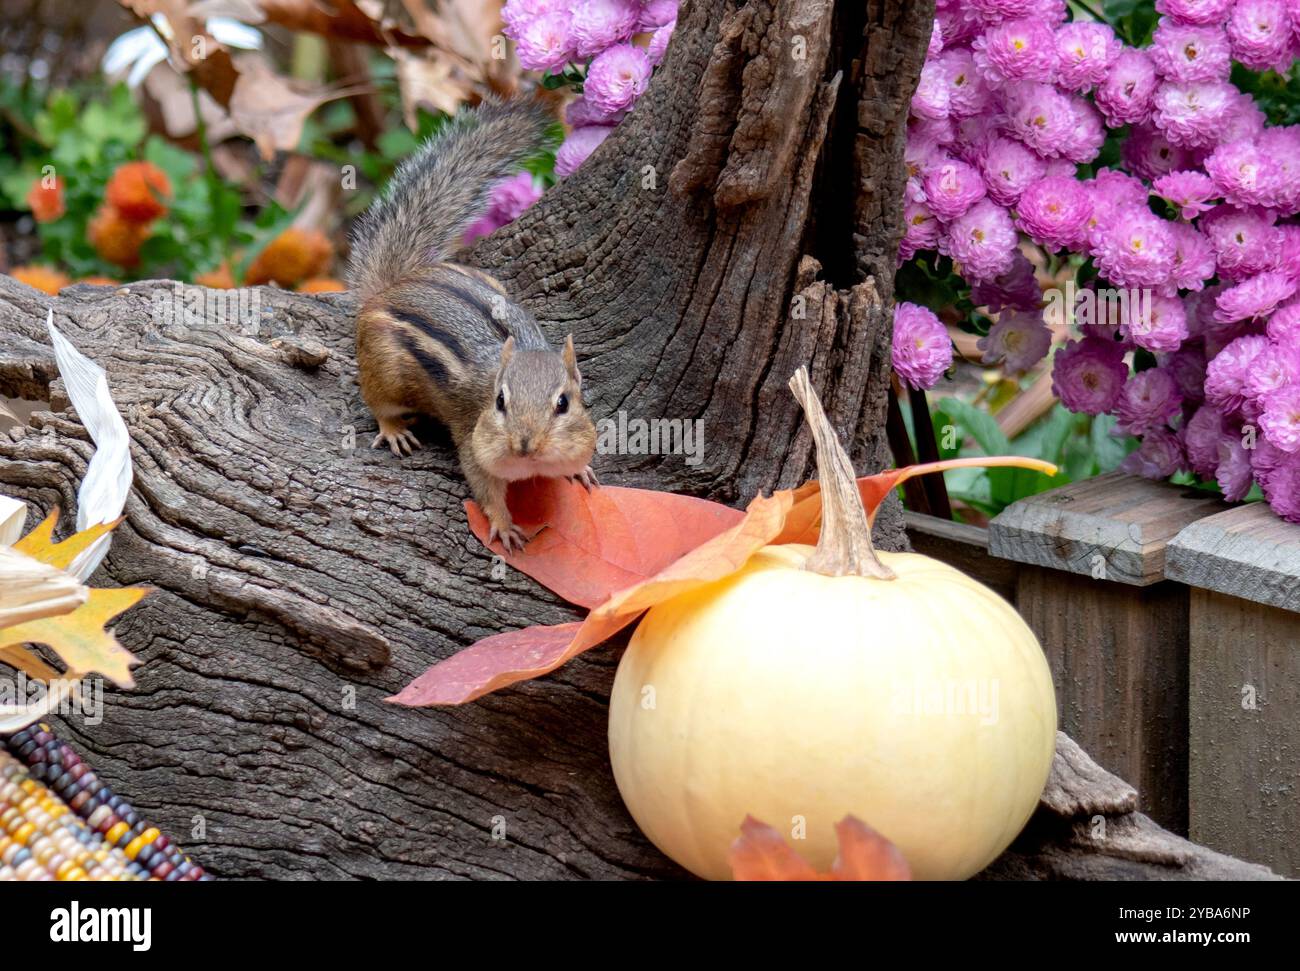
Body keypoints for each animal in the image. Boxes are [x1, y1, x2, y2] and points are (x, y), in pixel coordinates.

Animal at [347, 99, 598, 553]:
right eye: (500, 402)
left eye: (564, 403)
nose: (524, 444)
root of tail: (395, 286)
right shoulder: (474, 445)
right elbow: (484, 487)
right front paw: (503, 524)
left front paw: (579, 471)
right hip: (383, 365)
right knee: (378, 403)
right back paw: (394, 429)